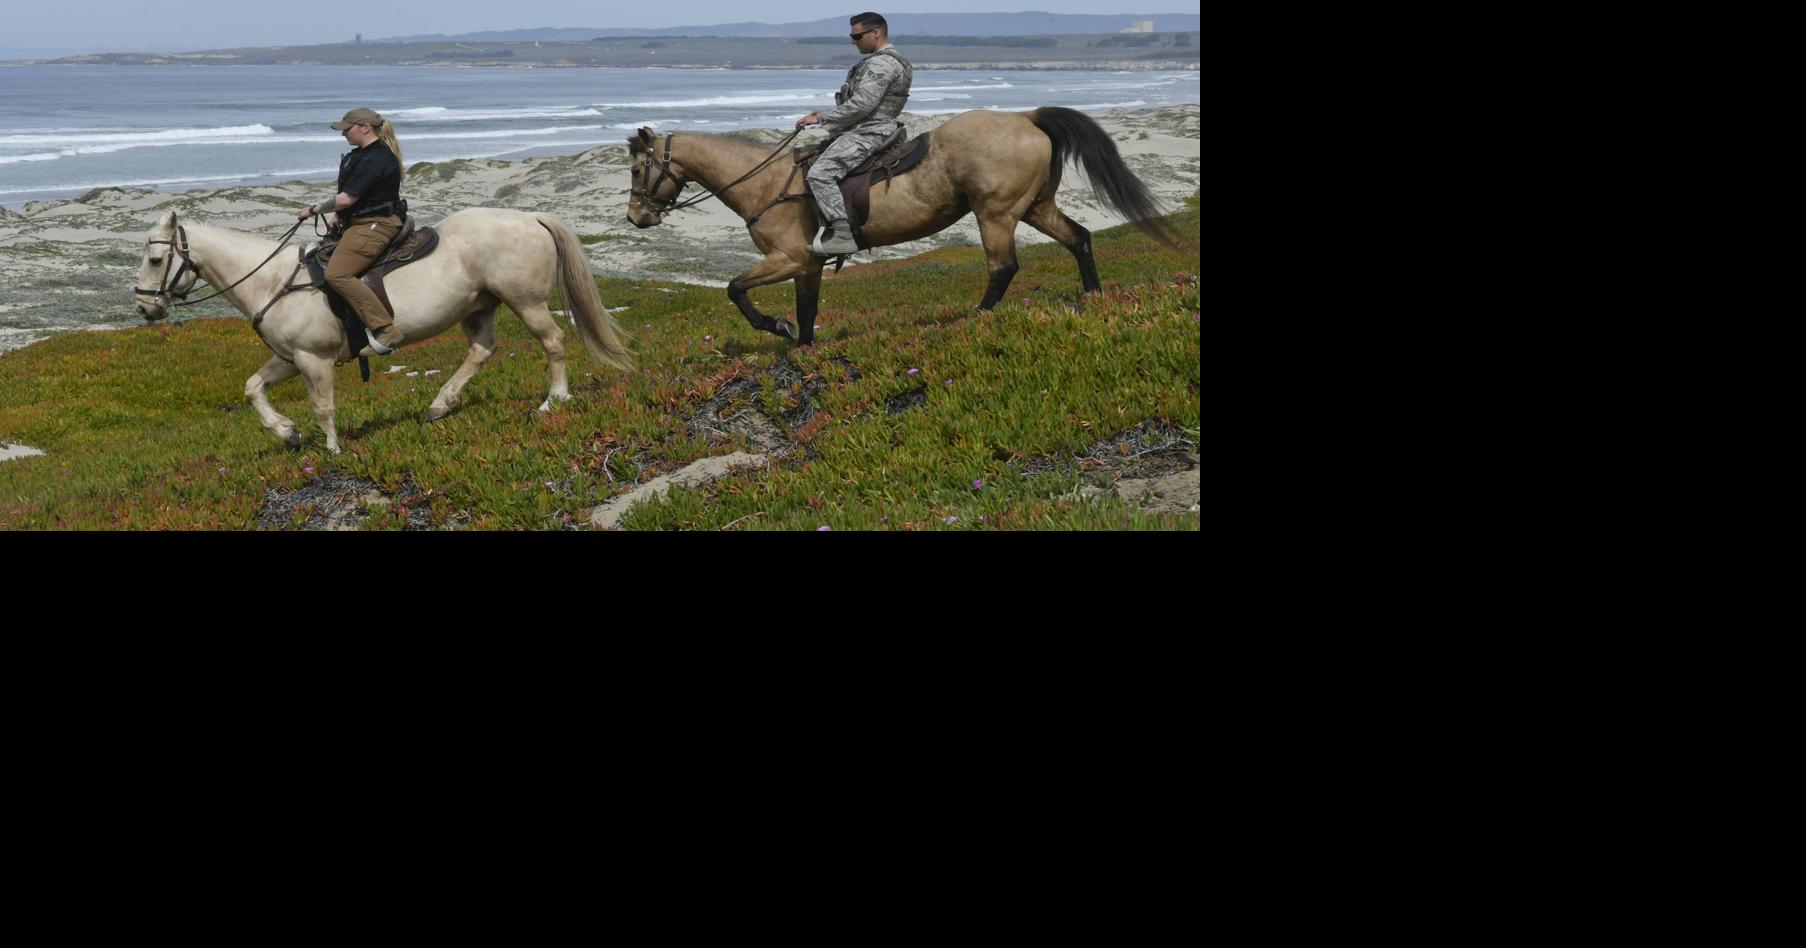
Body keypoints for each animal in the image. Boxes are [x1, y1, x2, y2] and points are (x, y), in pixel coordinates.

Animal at [132, 207, 632, 454]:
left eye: (156, 259)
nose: (143, 306)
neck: (274, 281)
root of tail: (529, 218)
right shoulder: (290, 359)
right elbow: (253, 387)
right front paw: (286, 433)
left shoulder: (314, 360)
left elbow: (324, 407)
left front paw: (331, 451)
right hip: (480, 306)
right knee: (482, 350)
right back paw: (440, 405)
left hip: (525, 302)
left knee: (552, 342)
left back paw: (554, 400)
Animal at [624, 106, 1175, 346]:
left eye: (635, 169)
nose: (636, 218)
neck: (769, 184)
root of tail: (1027, 116)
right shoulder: (807, 266)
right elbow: (807, 312)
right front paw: (801, 346)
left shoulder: (789, 258)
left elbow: (736, 290)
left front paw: (776, 327)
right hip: (1035, 207)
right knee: (1079, 238)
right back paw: (1094, 297)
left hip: (996, 213)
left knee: (1003, 266)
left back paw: (974, 317)